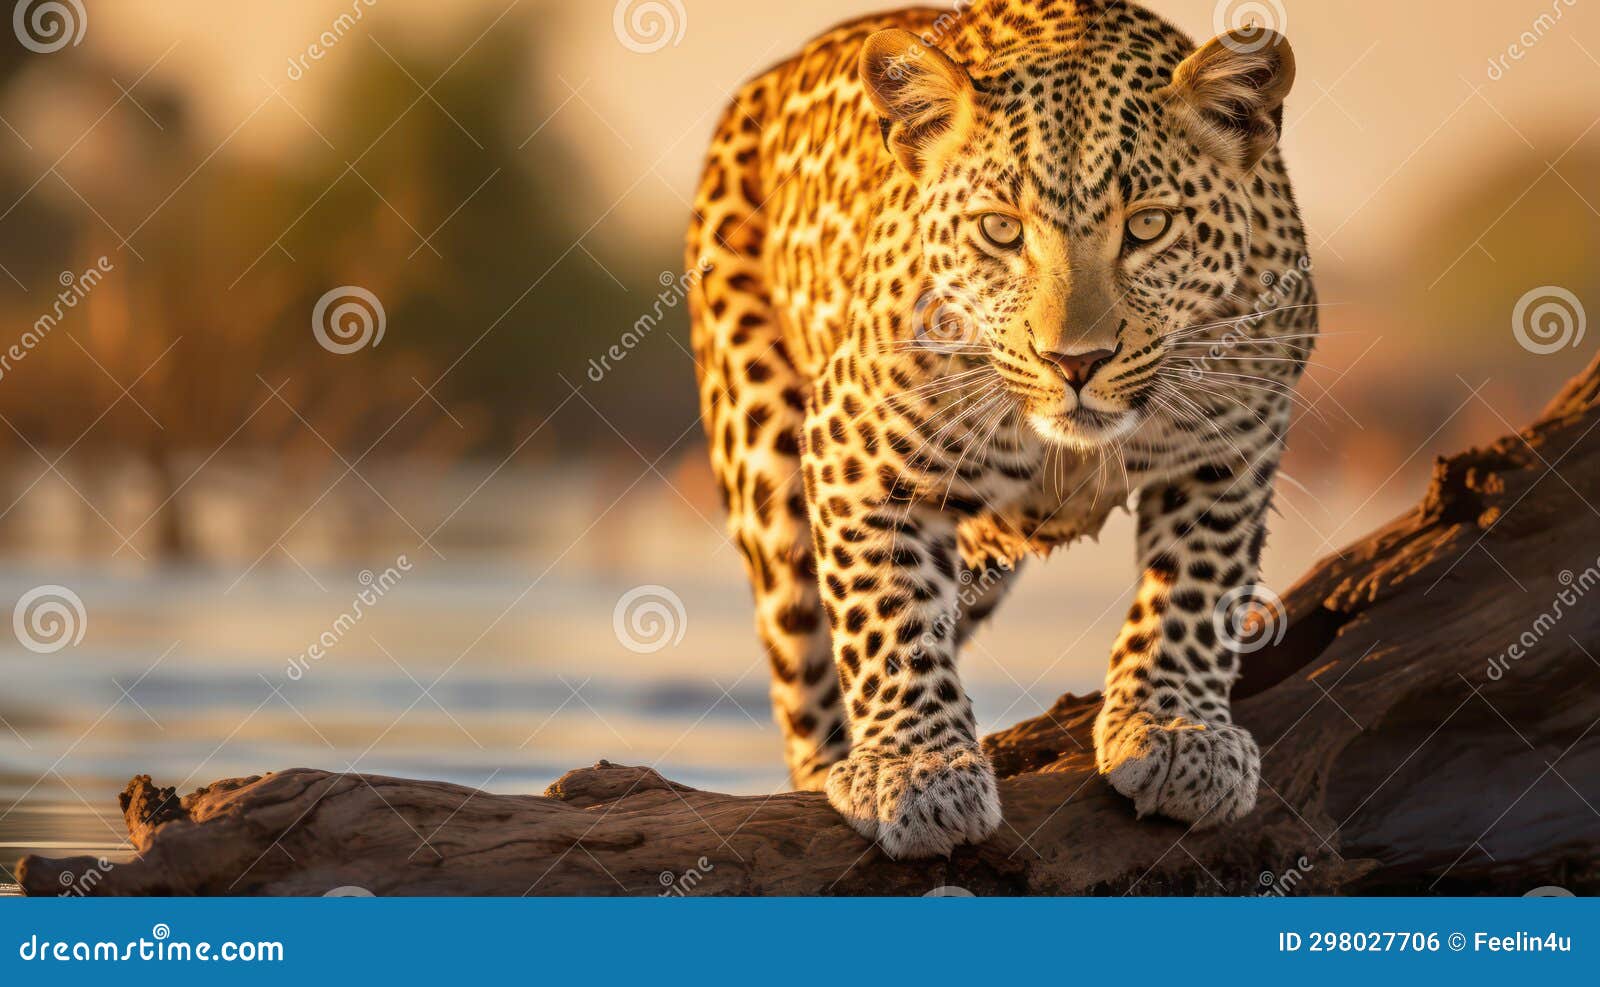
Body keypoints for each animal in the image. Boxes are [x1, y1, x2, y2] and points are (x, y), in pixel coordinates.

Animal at [686, 0, 1316, 860]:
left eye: (1149, 226)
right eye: (1000, 230)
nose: (1075, 360)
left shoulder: (1236, 438)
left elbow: (1197, 583)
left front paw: (1177, 731)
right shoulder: (852, 446)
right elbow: (885, 613)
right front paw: (915, 770)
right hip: (763, 464)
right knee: (807, 664)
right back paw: (826, 765)